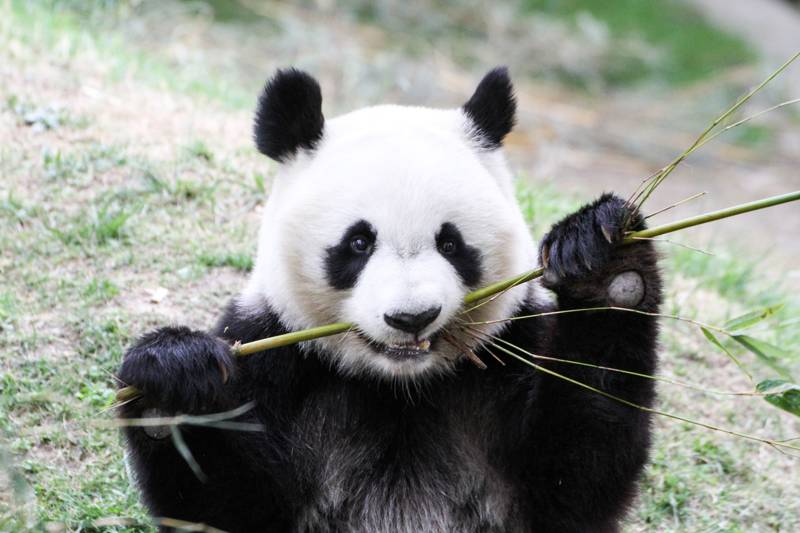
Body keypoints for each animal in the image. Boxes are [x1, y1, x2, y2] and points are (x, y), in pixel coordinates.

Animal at [118, 67, 661, 532]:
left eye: (451, 244)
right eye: (358, 243)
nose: (412, 317)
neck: (399, 385)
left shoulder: (511, 345)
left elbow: (574, 474)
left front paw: (603, 261)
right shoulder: (273, 350)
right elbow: (225, 507)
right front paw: (172, 381)